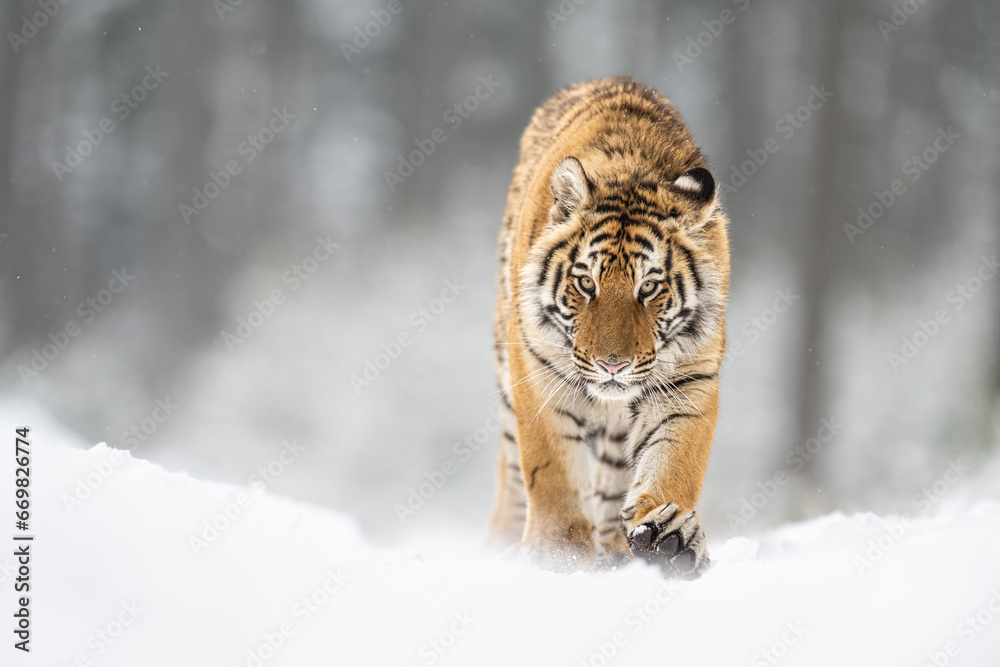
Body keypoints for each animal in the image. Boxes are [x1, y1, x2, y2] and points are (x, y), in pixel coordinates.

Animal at [486, 76, 730, 578]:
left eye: (649, 287)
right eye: (586, 283)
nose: (611, 366)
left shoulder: (690, 379)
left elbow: (675, 462)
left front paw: (669, 537)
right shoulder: (538, 371)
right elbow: (552, 470)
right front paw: (557, 555)